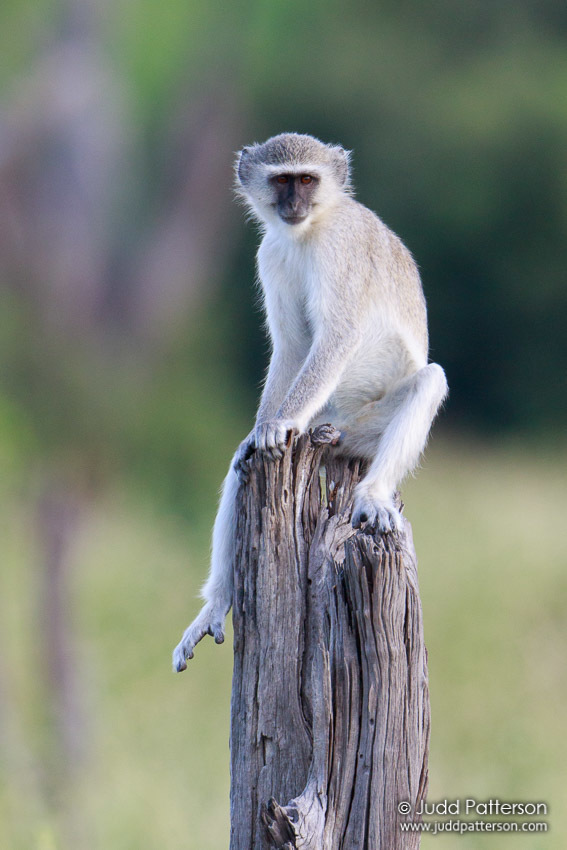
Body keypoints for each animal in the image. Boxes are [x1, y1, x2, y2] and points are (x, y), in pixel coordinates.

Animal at [172, 132, 447, 672]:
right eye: (282, 180)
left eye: (307, 180)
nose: (293, 204)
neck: (307, 233)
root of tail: (334, 430)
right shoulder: (270, 253)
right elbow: (293, 347)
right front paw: (265, 427)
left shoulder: (340, 249)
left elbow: (334, 338)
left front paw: (275, 425)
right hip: (329, 425)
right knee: (239, 468)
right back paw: (217, 602)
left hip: (362, 429)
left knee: (429, 381)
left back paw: (372, 493)